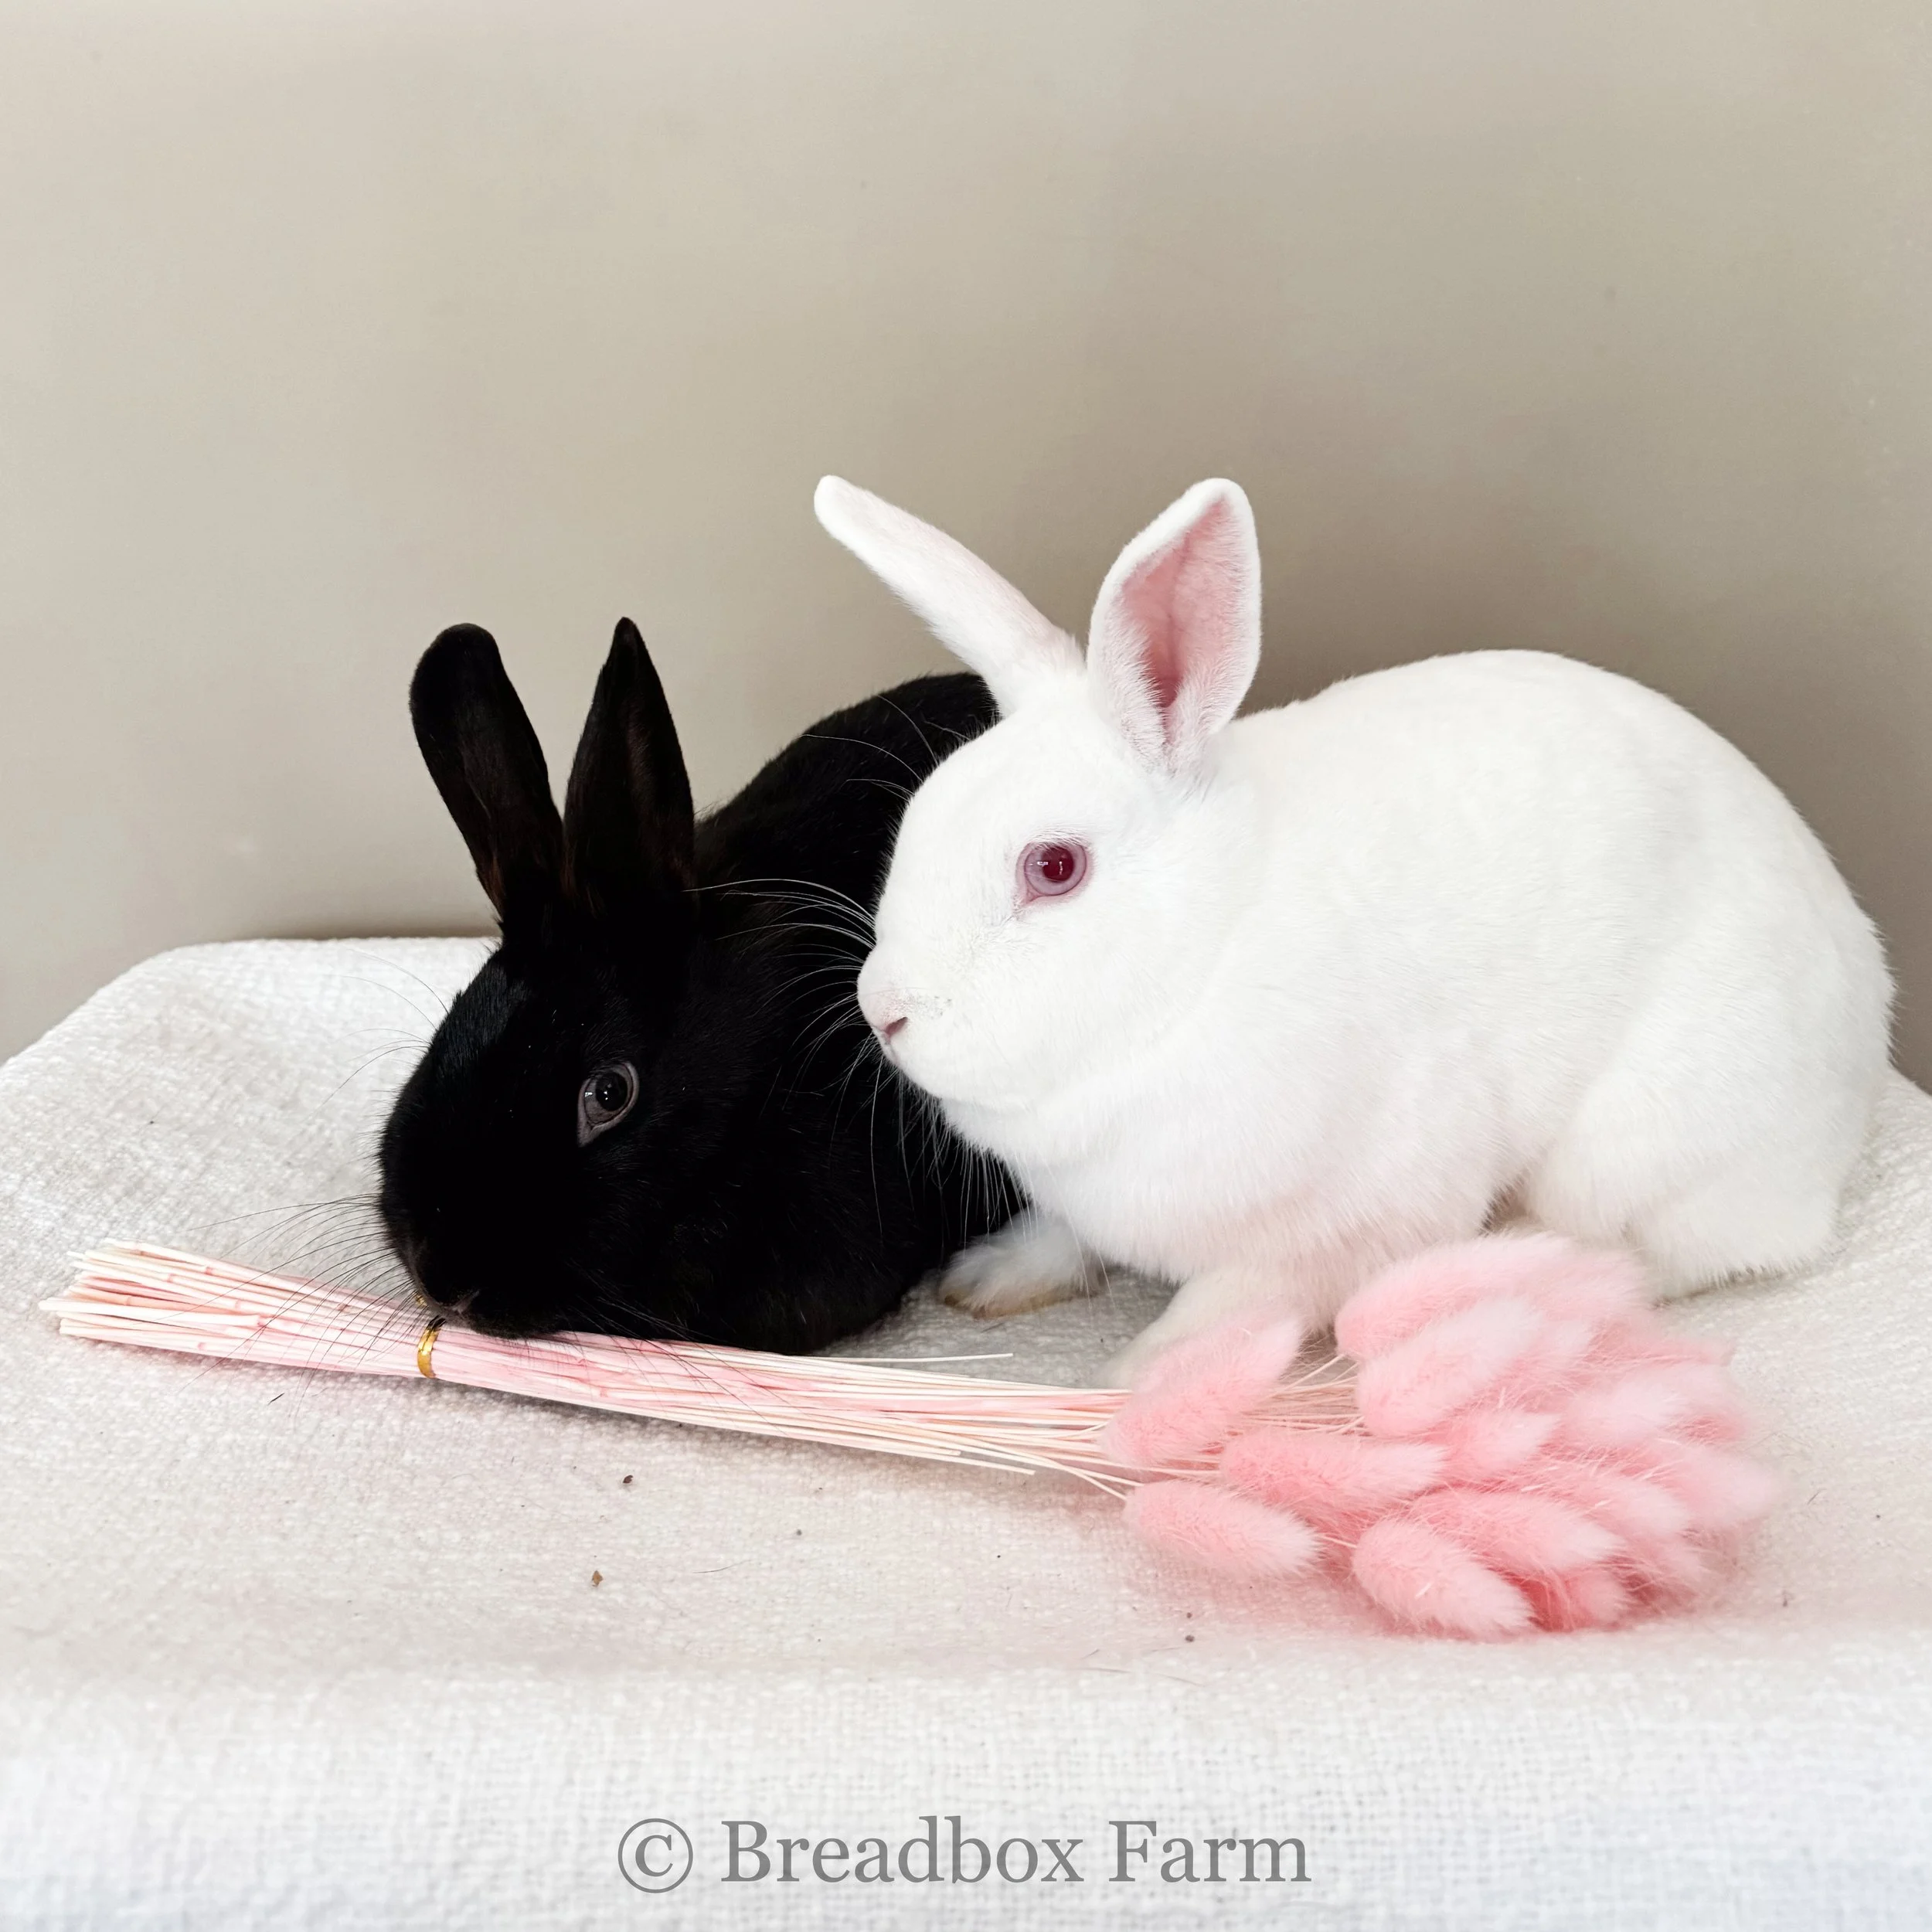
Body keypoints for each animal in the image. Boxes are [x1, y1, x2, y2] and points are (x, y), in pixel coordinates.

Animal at [816, 474, 1893, 1377]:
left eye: (1053, 868)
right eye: (917, 821)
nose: (884, 1011)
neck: (1204, 958)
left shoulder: (1329, 1226)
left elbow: (1227, 1310)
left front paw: (1131, 1384)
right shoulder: (1074, 1200)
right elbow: (1059, 1235)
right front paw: (986, 1283)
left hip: (1641, 1150)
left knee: (1658, 1254)